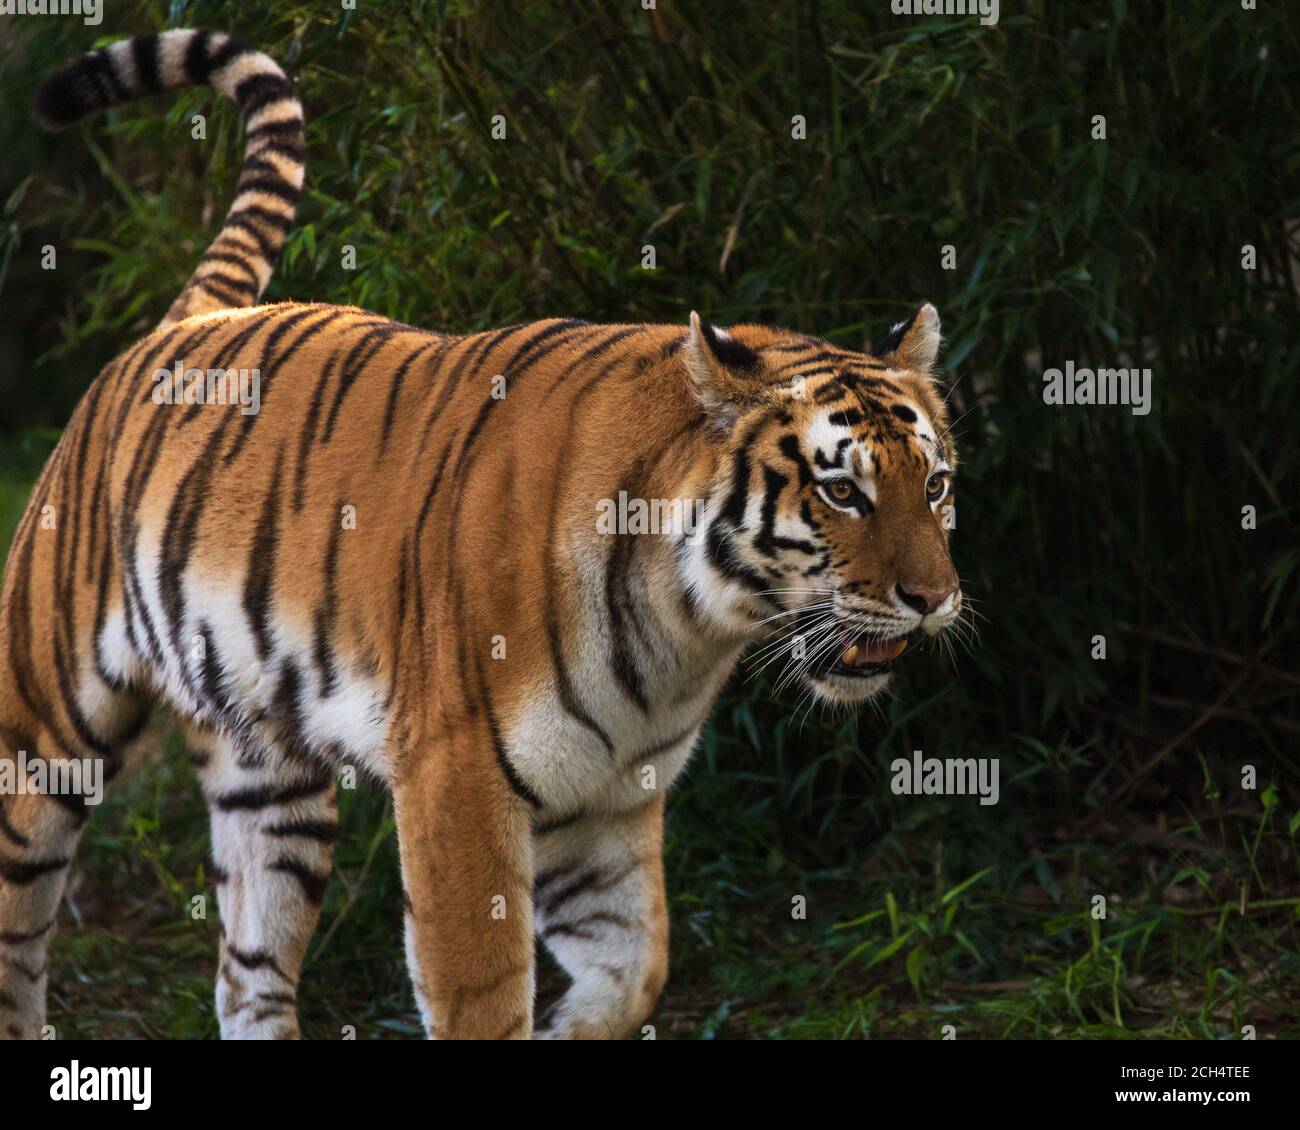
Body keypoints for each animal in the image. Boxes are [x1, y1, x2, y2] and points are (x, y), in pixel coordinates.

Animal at [0, 28, 963, 1040]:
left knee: (246, 970)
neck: (686, 629)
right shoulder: (456, 777)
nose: (936, 600)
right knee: (18, 935)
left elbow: (635, 967)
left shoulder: (606, 801)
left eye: (934, 485)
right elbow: (482, 990)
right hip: (45, 727)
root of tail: (186, 320)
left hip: (269, 778)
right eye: (843, 492)